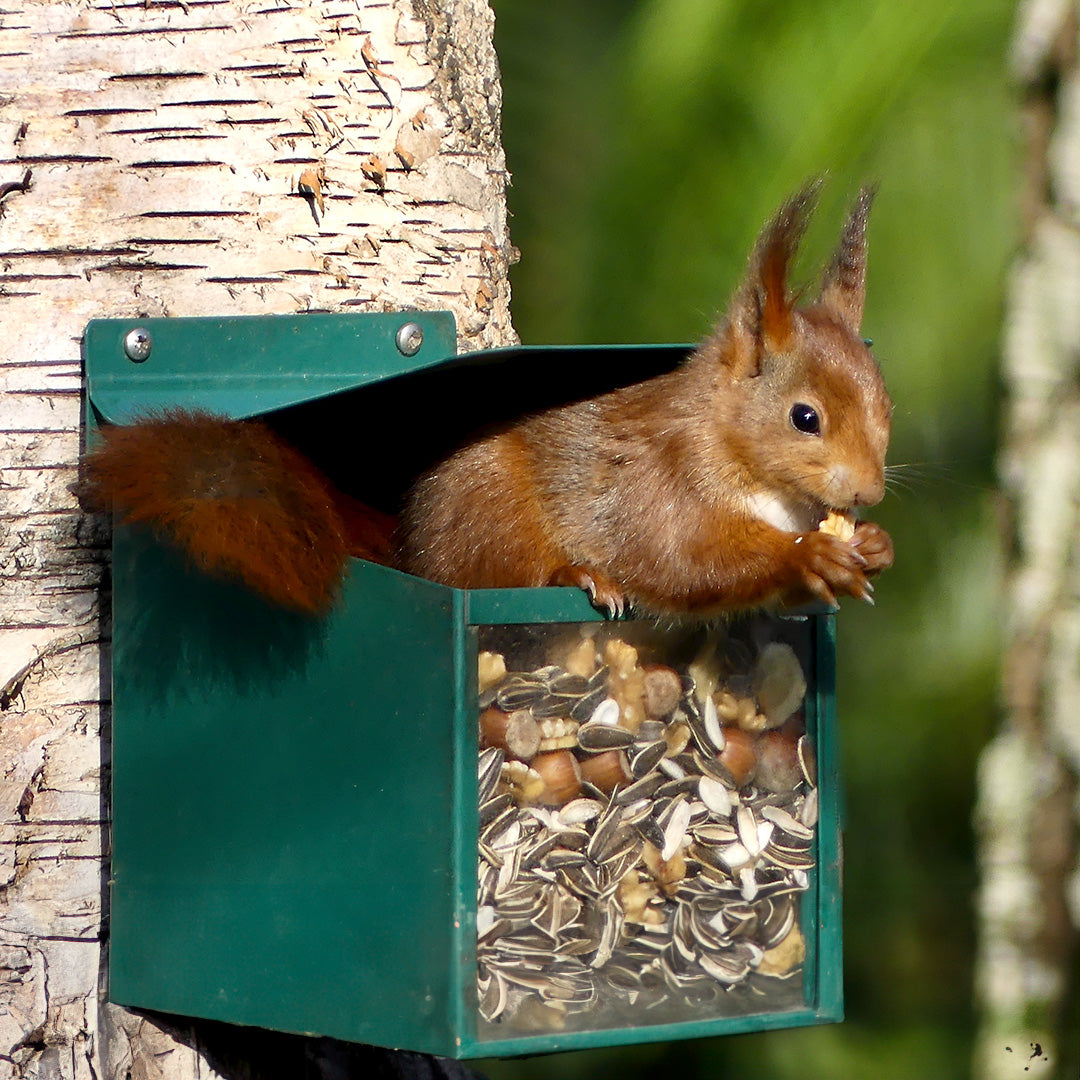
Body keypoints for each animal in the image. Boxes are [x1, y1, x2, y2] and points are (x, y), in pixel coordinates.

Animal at [82, 183, 893, 617]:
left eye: (886, 411)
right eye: (805, 418)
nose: (869, 493)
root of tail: (410, 548)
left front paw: (872, 545)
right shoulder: (664, 479)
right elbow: (681, 556)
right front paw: (811, 556)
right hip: (490, 504)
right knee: (496, 571)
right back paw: (577, 575)